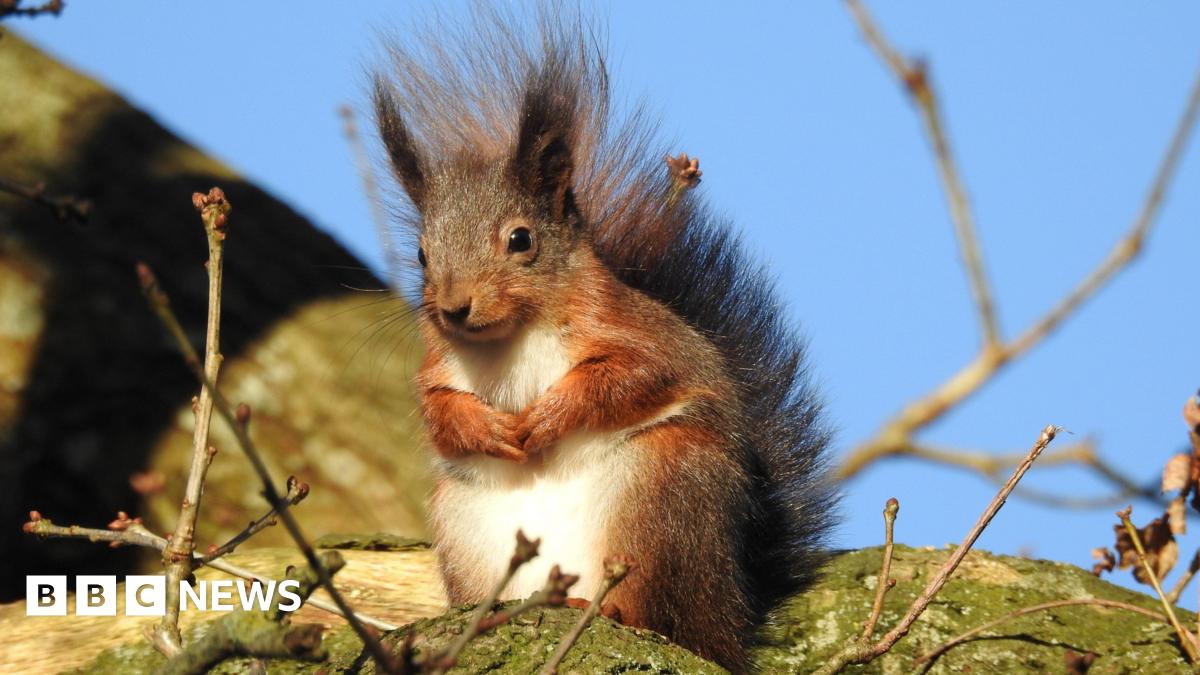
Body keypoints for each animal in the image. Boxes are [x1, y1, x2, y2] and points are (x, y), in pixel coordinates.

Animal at [373, 7, 835, 672]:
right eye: (421, 254)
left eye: (520, 239)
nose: (455, 308)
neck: (510, 338)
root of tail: (730, 619)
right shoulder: (438, 363)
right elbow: (438, 411)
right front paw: (488, 427)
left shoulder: (635, 330)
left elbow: (636, 375)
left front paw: (546, 416)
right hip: (462, 522)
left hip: (664, 493)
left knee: (663, 615)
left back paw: (618, 611)